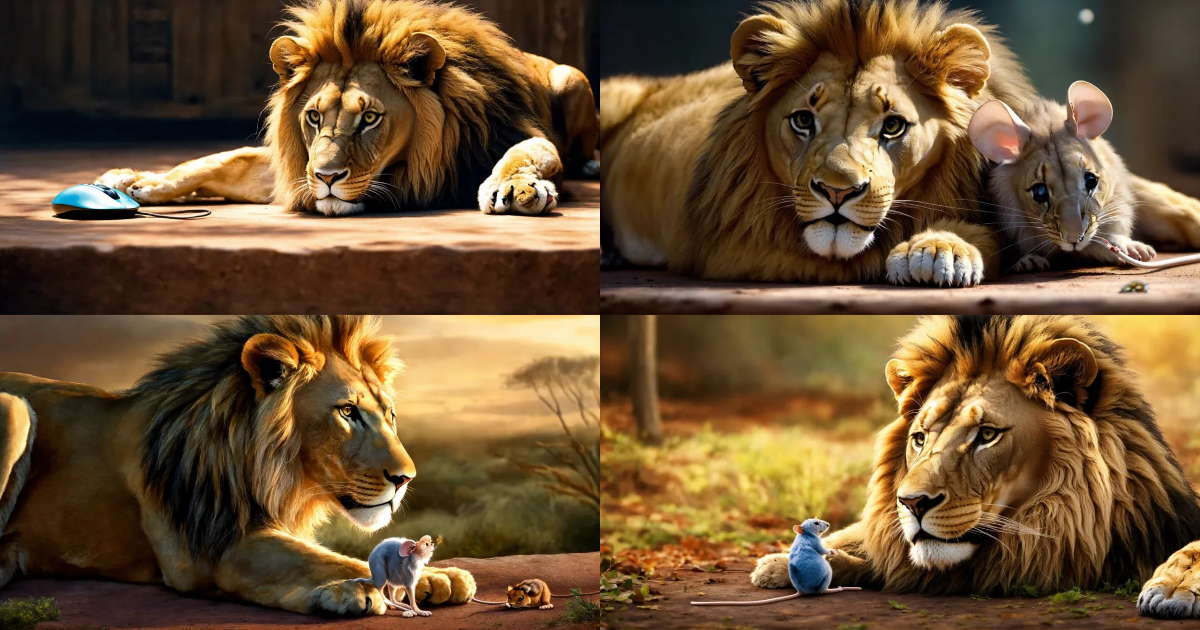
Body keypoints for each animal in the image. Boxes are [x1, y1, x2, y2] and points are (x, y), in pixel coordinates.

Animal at [0, 315, 475, 616]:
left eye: (390, 414)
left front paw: (437, 577)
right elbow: (319, 559)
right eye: (347, 411)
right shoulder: (208, 549)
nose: (406, 478)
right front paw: (352, 590)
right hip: (15, 408)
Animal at [95, 0, 599, 217]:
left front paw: (515, 188)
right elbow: (223, 160)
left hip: (571, 78)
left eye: (370, 118)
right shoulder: (292, 170)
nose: (326, 178)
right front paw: (136, 182)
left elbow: (532, 150)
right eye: (314, 116)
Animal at [600, 0, 1200, 285]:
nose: (837, 192)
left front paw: (938, 250)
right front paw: (940, 249)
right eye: (802, 121)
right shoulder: (739, 245)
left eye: (892, 126)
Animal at [746, 315, 1200, 619]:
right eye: (920, 438)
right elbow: (873, 540)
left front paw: (1174, 588)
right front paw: (781, 562)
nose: (911, 503)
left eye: (987, 434)